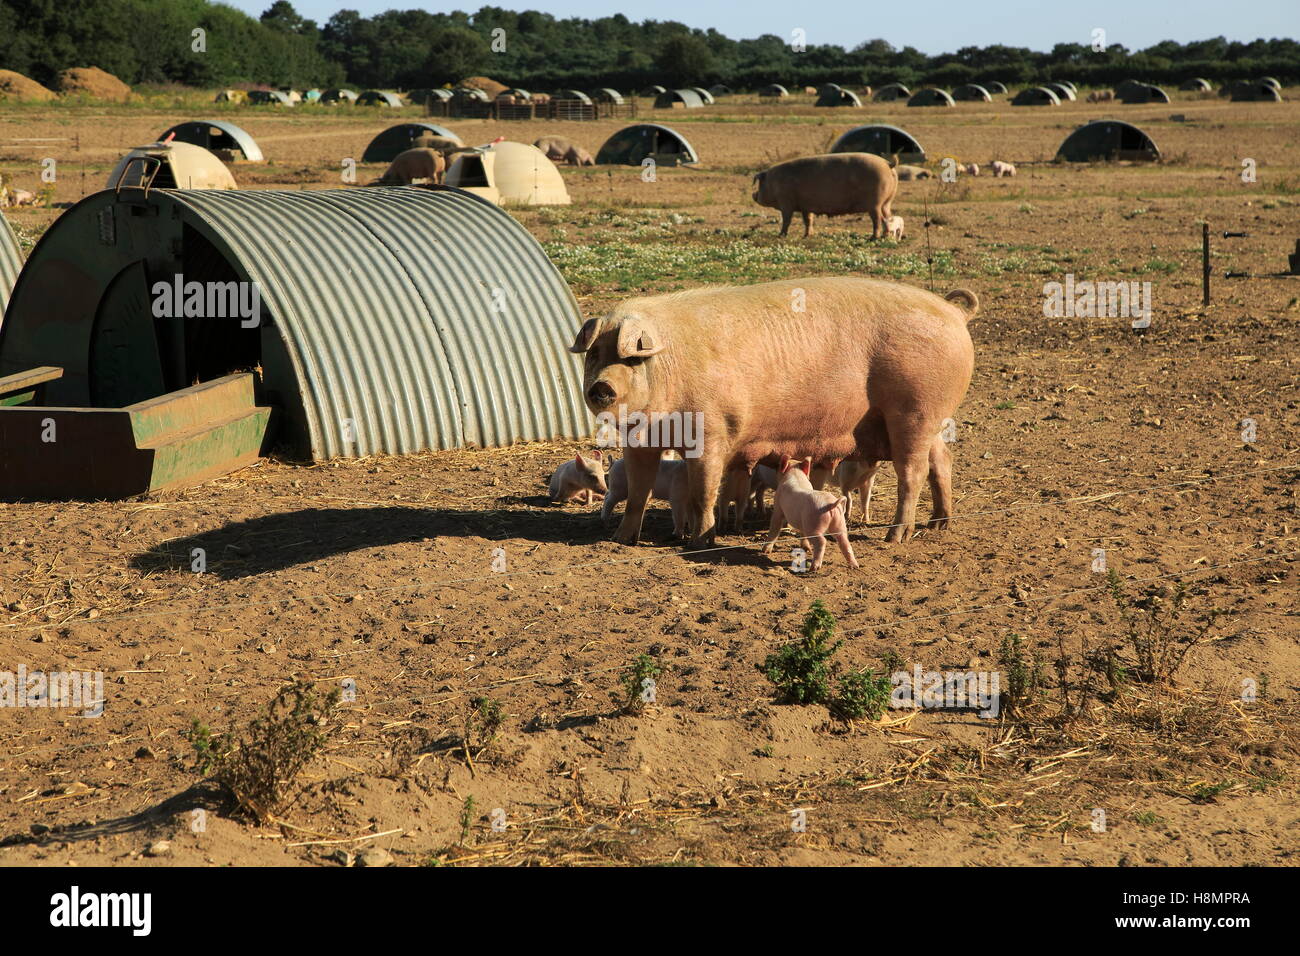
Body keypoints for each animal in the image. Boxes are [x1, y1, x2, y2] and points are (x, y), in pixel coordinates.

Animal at [569, 277, 978, 548]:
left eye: (631, 358)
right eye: (595, 354)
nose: (601, 387)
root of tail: (954, 312)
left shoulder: (713, 431)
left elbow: (703, 491)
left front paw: (699, 542)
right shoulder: (639, 442)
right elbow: (639, 489)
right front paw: (621, 539)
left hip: (916, 410)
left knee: (914, 471)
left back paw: (897, 537)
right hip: (930, 420)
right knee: (942, 461)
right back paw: (939, 525)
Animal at [752, 152, 898, 238]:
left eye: (760, 184)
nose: (754, 195)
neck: (773, 182)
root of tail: (888, 163)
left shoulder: (786, 202)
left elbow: (787, 220)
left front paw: (781, 235)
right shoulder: (806, 206)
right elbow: (808, 220)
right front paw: (807, 236)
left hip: (875, 203)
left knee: (877, 219)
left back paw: (873, 238)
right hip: (886, 202)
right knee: (888, 217)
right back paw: (885, 236)